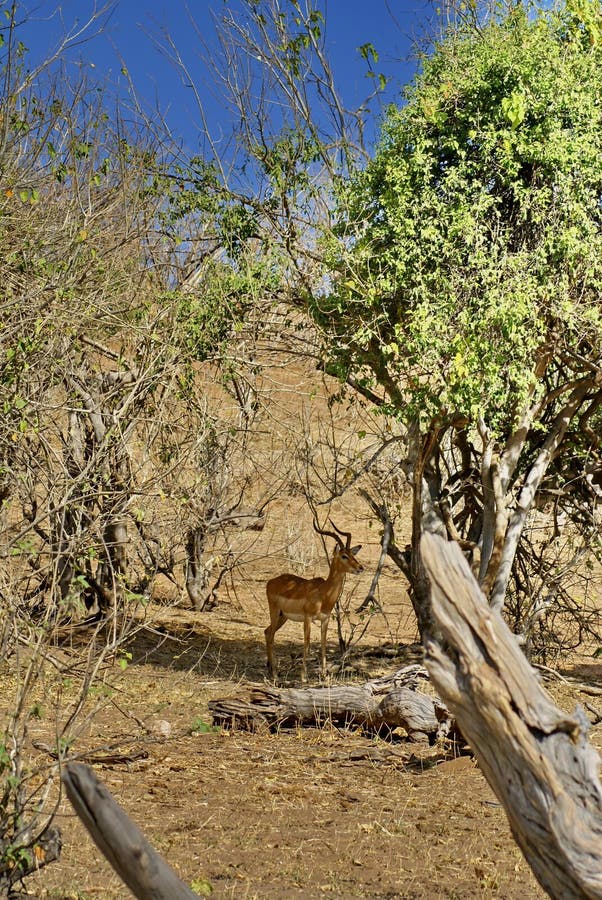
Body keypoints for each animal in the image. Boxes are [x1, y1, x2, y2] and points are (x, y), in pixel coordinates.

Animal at [265, 520, 364, 683]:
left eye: (352, 554)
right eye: (344, 555)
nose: (360, 568)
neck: (323, 593)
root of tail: (271, 581)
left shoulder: (325, 618)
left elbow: (323, 644)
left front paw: (324, 675)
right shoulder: (308, 618)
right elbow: (307, 642)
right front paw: (304, 676)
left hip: (283, 616)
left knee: (266, 632)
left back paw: (271, 670)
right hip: (274, 612)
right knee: (271, 636)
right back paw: (275, 675)